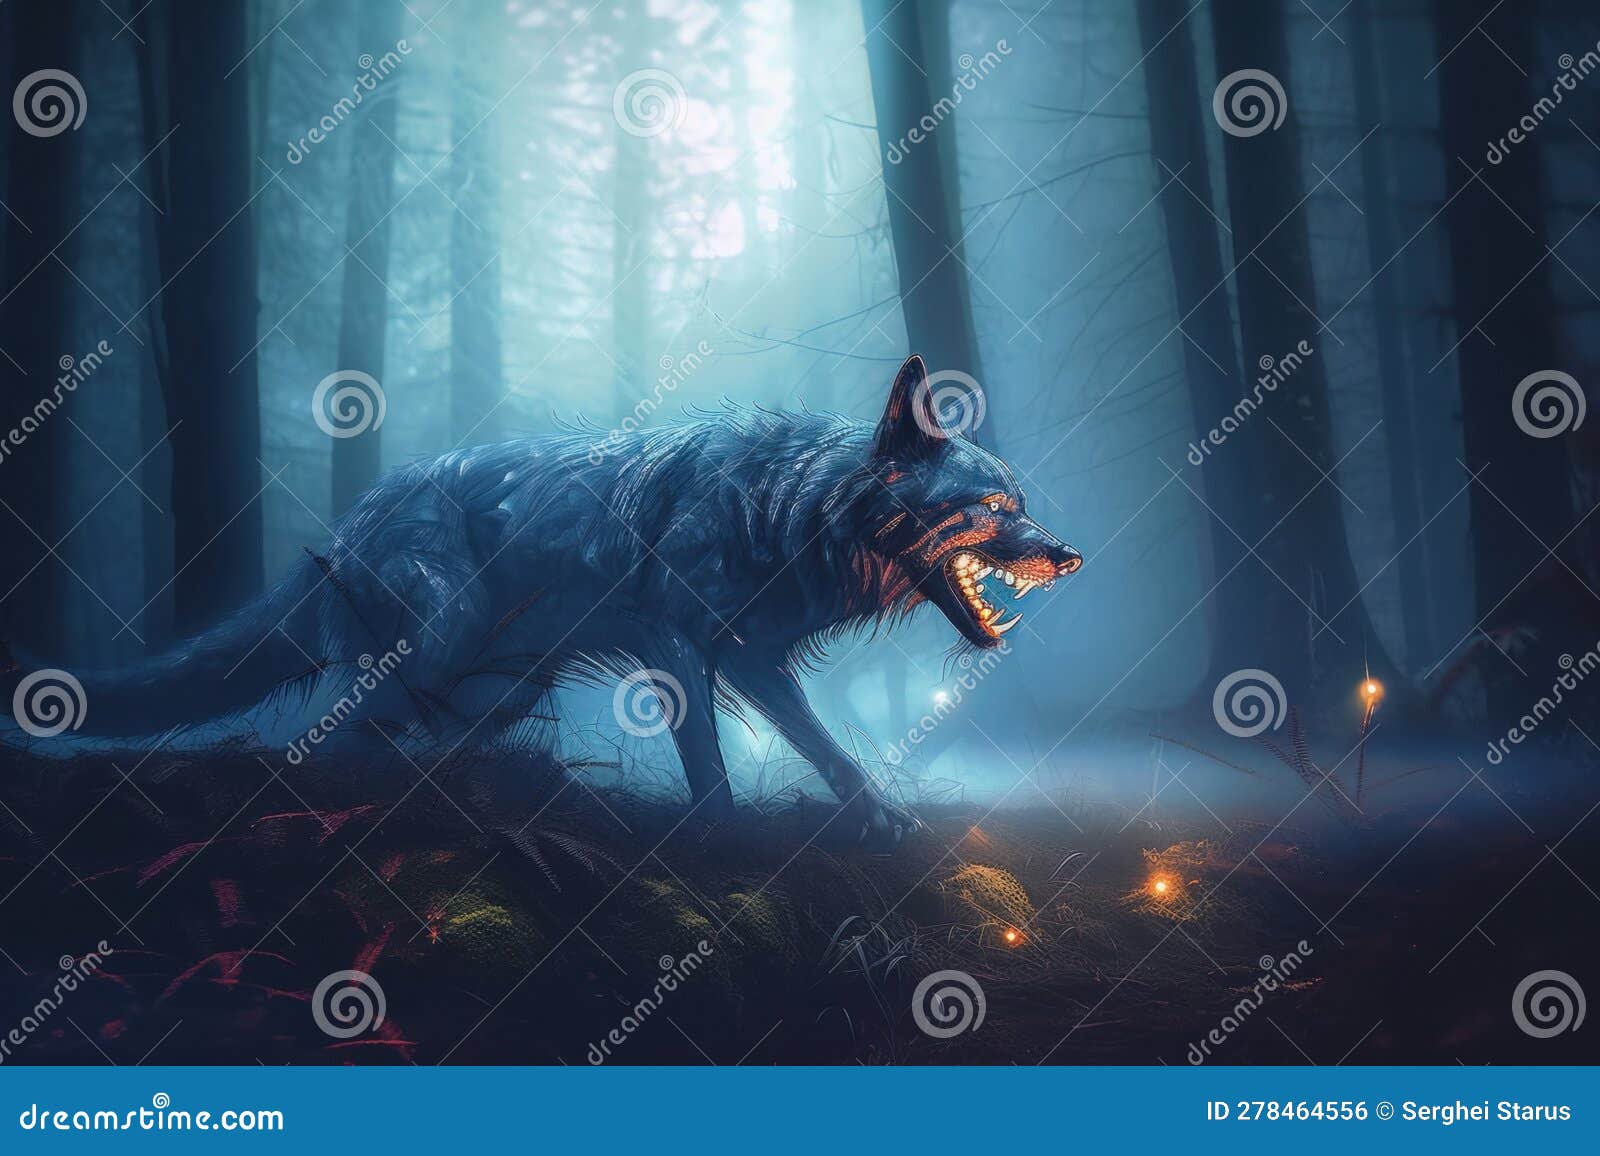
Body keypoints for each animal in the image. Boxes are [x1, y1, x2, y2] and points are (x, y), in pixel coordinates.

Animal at [3, 356, 1080, 849]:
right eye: (994, 508)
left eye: (1022, 503)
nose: (1067, 554)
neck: (787, 505)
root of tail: (346, 525)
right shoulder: (680, 642)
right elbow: (708, 758)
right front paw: (722, 834)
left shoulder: (752, 657)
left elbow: (825, 745)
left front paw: (881, 816)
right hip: (444, 641)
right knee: (329, 738)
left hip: (497, 687)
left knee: (388, 736)